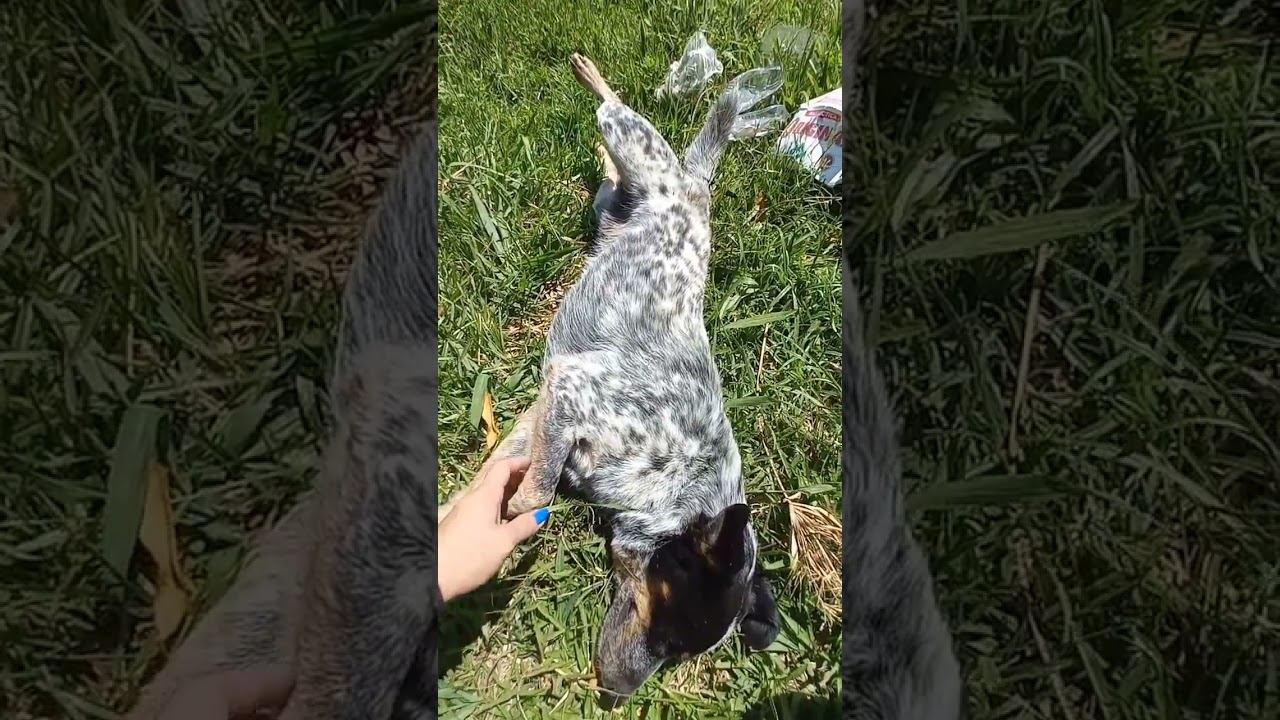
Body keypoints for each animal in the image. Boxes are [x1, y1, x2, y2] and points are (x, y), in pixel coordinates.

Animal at [443, 53, 783, 708]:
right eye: (669, 635)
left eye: (677, 653)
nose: (615, 694)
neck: (679, 479)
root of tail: (693, 190)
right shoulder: (569, 392)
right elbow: (534, 495)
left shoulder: (547, 408)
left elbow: (510, 469)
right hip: (636, 145)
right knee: (617, 111)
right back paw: (590, 74)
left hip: (609, 203)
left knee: (612, 168)